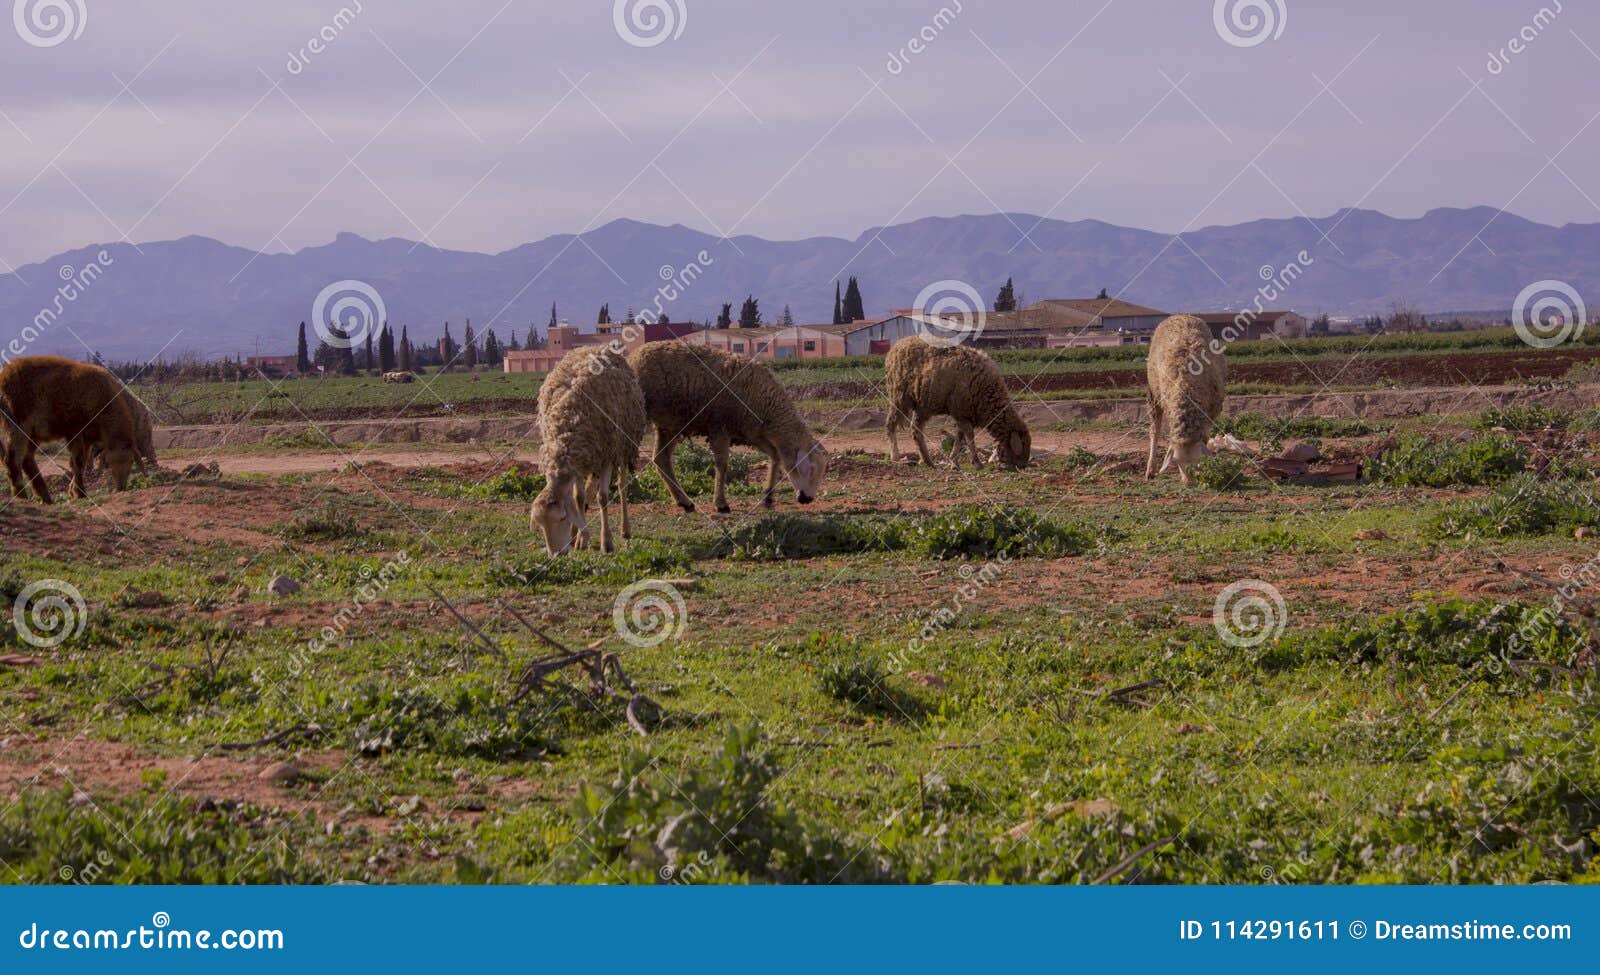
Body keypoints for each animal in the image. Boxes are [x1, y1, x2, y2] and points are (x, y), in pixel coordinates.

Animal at [0, 355, 139, 503]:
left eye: (131, 462)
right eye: (111, 463)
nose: (121, 487)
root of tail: (4, 375)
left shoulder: (87, 437)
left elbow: (80, 462)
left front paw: (73, 491)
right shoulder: (74, 431)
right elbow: (77, 461)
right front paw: (79, 493)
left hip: (32, 433)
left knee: (27, 458)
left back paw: (45, 497)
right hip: (18, 426)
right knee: (12, 459)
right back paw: (21, 496)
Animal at [529, 345, 647, 554]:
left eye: (562, 517)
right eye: (541, 524)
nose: (556, 555)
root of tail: (594, 347)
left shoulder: (607, 455)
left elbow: (603, 497)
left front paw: (606, 543)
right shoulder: (577, 460)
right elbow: (578, 497)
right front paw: (579, 539)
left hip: (622, 448)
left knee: (622, 487)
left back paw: (625, 530)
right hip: (592, 457)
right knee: (588, 489)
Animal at [628, 342, 828, 514]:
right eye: (811, 470)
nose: (808, 499)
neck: (768, 407)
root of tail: (633, 355)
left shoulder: (752, 432)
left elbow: (775, 455)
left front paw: (768, 497)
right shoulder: (720, 426)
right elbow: (722, 464)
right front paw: (721, 503)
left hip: (669, 424)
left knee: (661, 459)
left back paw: (684, 502)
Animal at [883, 337, 1031, 470]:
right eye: (1023, 444)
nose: (1023, 465)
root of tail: (897, 345)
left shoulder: (963, 414)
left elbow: (959, 437)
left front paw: (954, 461)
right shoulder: (961, 411)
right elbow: (969, 436)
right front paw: (976, 462)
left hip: (922, 405)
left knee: (916, 430)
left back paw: (927, 461)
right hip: (898, 396)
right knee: (891, 424)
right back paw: (895, 456)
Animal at [1145, 314, 1227, 485]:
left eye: (1198, 460)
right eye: (1176, 462)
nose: (1190, 483)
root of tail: (1181, 315)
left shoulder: (1212, 411)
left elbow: (1205, 438)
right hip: (1154, 395)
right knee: (1154, 430)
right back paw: (1150, 469)